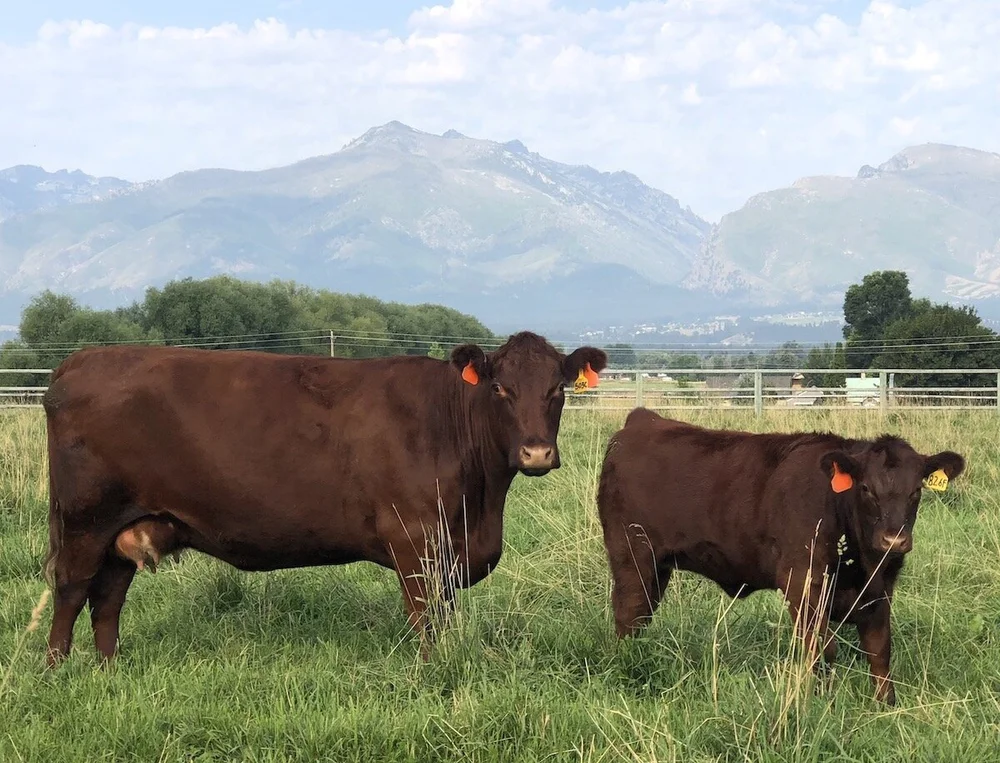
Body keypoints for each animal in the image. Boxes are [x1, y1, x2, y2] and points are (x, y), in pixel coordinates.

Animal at [41, 332, 607, 666]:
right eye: (500, 390)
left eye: (558, 390)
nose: (536, 453)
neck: (483, 505)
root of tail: (83, 359)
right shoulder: (416, 541)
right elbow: (425, 618)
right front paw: (433, 671)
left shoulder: (449, 549)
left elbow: (444, 616)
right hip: (85, 521)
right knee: (72, 589)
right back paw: (57, 670)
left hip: (124, 525)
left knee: (108, 596)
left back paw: (109, 668)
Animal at [596, 409, 965, 705]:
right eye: (866, 489)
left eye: (916, 491)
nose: (894, 540)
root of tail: (643, 420)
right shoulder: (802, 583)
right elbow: (823, 651)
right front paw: (823, 703)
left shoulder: (880, 592)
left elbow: (880, 652)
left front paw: (886, 706)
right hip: (631, 555)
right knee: (628, 613)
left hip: (657, 568)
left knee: (641, 615)